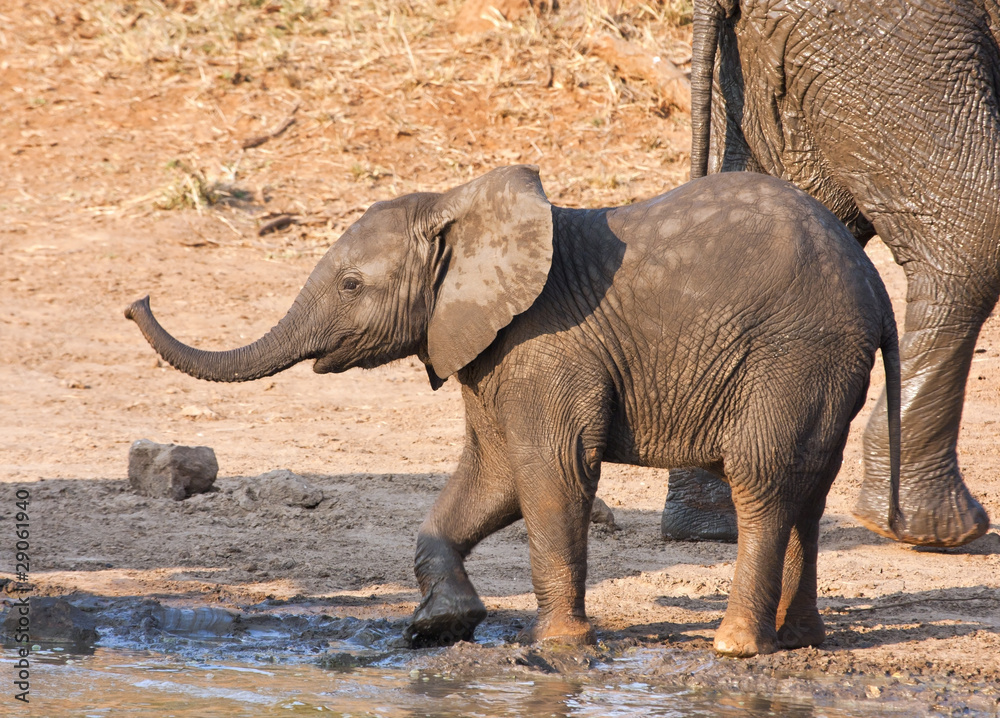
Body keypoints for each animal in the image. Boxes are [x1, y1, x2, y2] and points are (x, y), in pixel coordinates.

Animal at [126, 165, 901, 657]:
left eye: (350, 284)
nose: (135, 302)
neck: (457, 209)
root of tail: (874, 286)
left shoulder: (545, 347)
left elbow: (549, 473)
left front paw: (557, 647)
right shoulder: (488, 350)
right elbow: (491, 479)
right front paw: (443, 627)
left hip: (794, 353)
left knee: (762, 481)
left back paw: (735, 647)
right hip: (826, 368)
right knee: (807, 489)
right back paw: (796, 641)